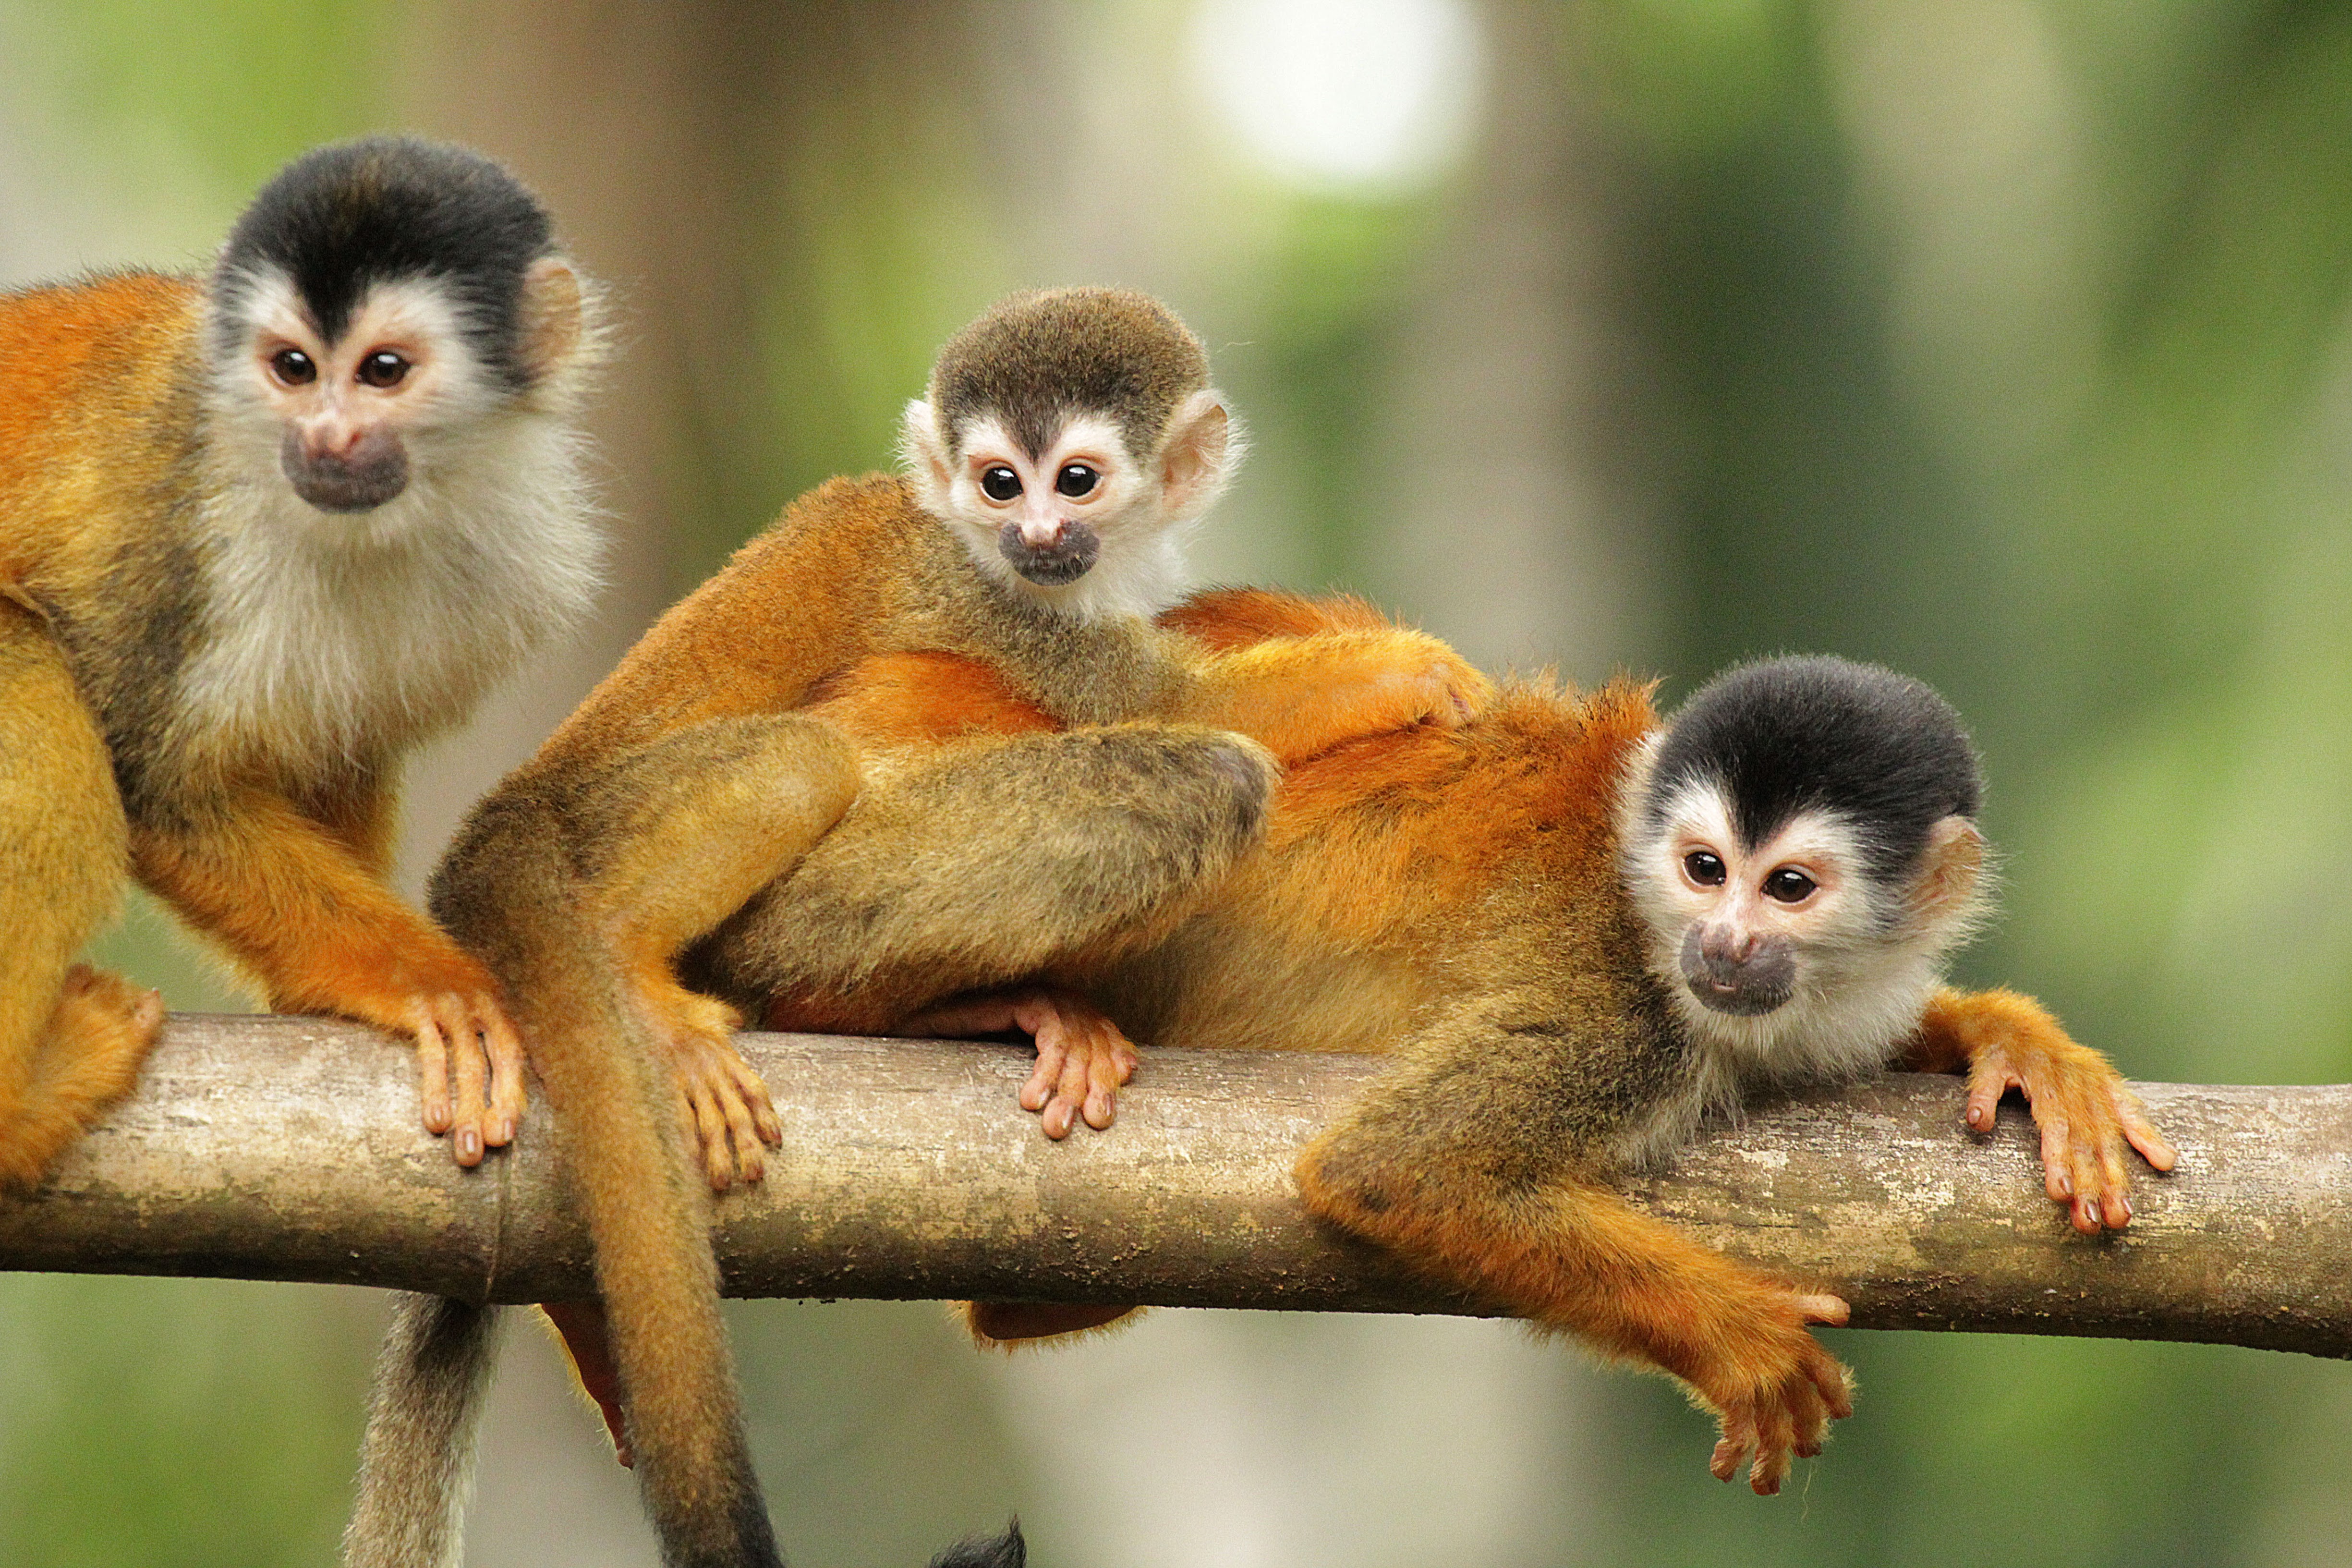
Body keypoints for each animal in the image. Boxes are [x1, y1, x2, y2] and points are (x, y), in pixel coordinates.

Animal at [0, 135, 600, 1190]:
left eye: (383, 371)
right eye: (293, 368)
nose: (325, 438)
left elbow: (329, 752)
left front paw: (320, 990)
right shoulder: (172, 524)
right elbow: (156, 783)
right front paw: (429, 985)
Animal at [344, 290, 1490, 1568]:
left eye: (1074, 480)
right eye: (999, 483)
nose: (1035, 533)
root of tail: (502, 826)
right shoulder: (989, 599)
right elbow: (1173, 704)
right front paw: (1397, 671)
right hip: (604, 824)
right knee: (824, 761)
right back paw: (643, 977)